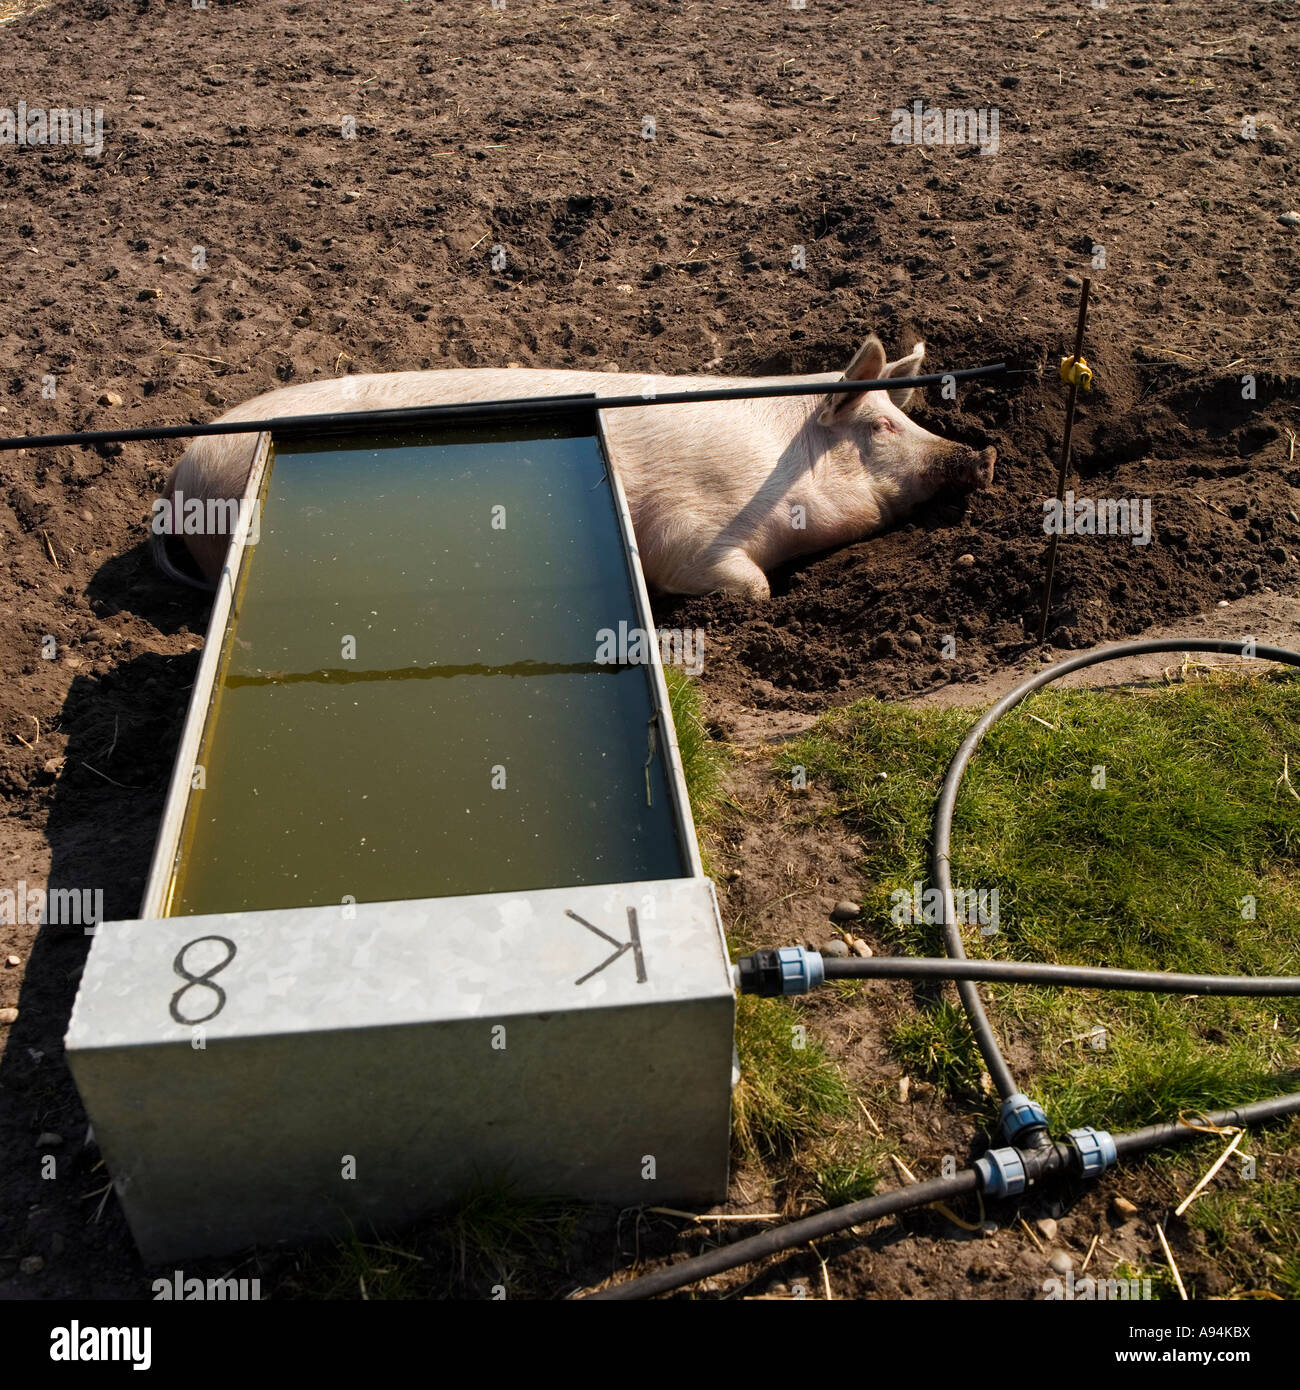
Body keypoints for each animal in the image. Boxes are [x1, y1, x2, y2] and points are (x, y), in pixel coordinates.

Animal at [154, 333, 994, 600]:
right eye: (880, 424)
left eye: (908, 415)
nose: (978, 453)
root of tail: (179, 475)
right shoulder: (690, 533)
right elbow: (747, 586)